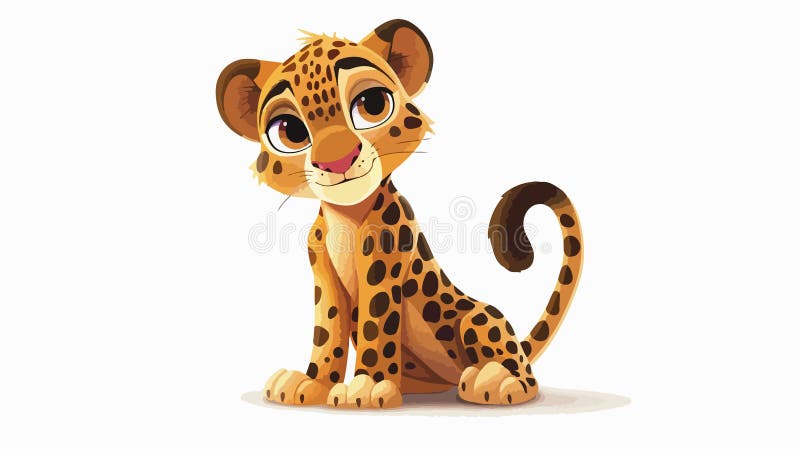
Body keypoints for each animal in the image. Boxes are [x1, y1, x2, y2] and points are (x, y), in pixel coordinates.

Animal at [216, 19, 583, 408]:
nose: (337, 160)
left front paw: (367, 386)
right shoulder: (323, 274)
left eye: (373, 104)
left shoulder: (383, 263)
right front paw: (312, 382)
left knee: (518, 367)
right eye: (290, 131)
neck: (345, 217)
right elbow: (327, 332)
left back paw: (499, 381)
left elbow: (376, 328)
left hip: (477, 319)